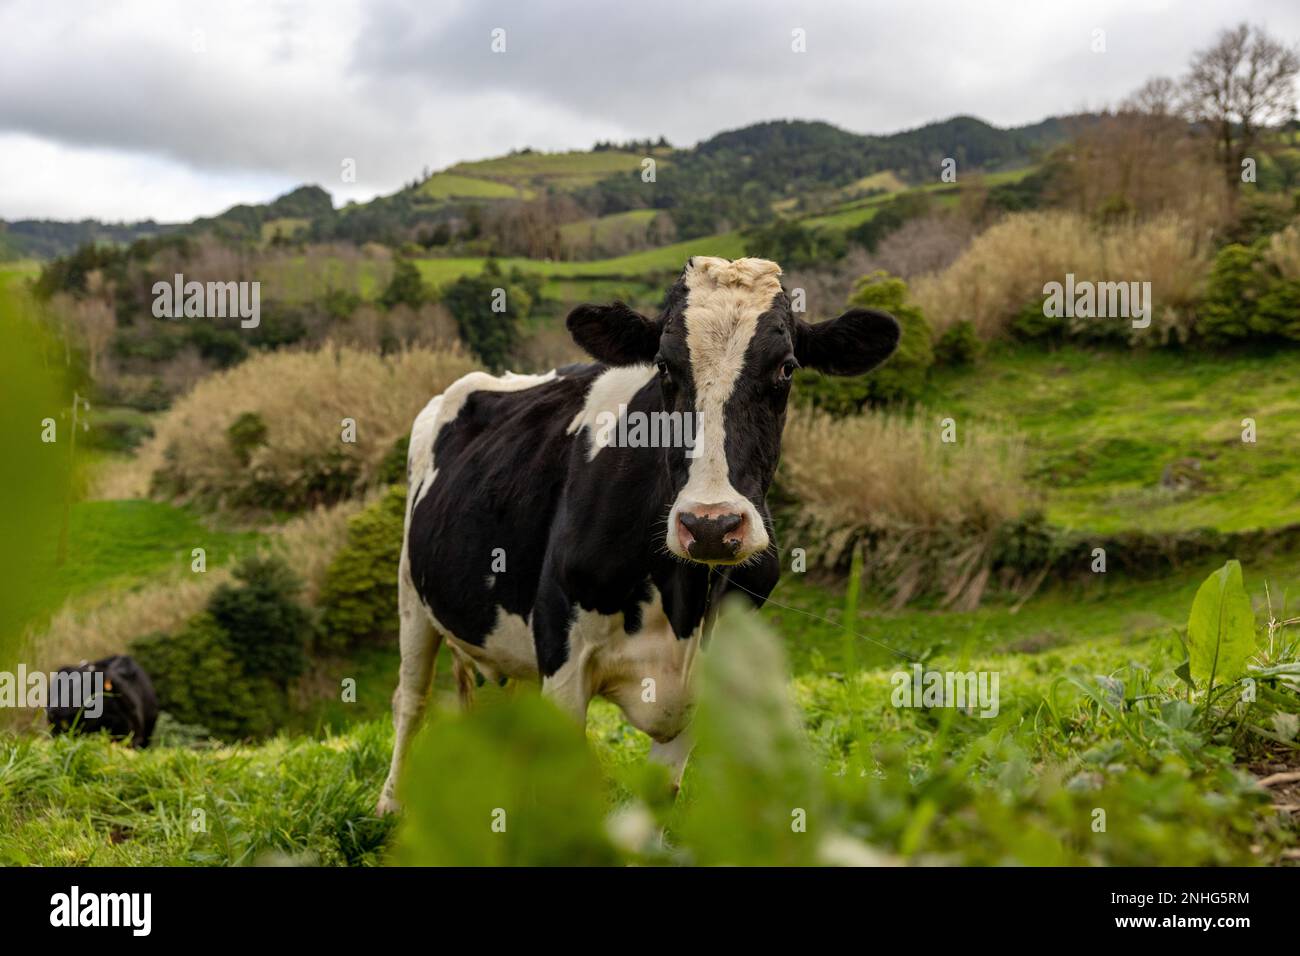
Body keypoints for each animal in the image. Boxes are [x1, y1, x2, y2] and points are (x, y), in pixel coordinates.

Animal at [377, 256, 898, 814]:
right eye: (665, 367)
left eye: (787, 367)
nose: (710, 526)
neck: (682, 602)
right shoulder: (562, 650)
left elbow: (658, 798)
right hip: (411, 594)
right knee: (411, 699)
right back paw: (391, 804)